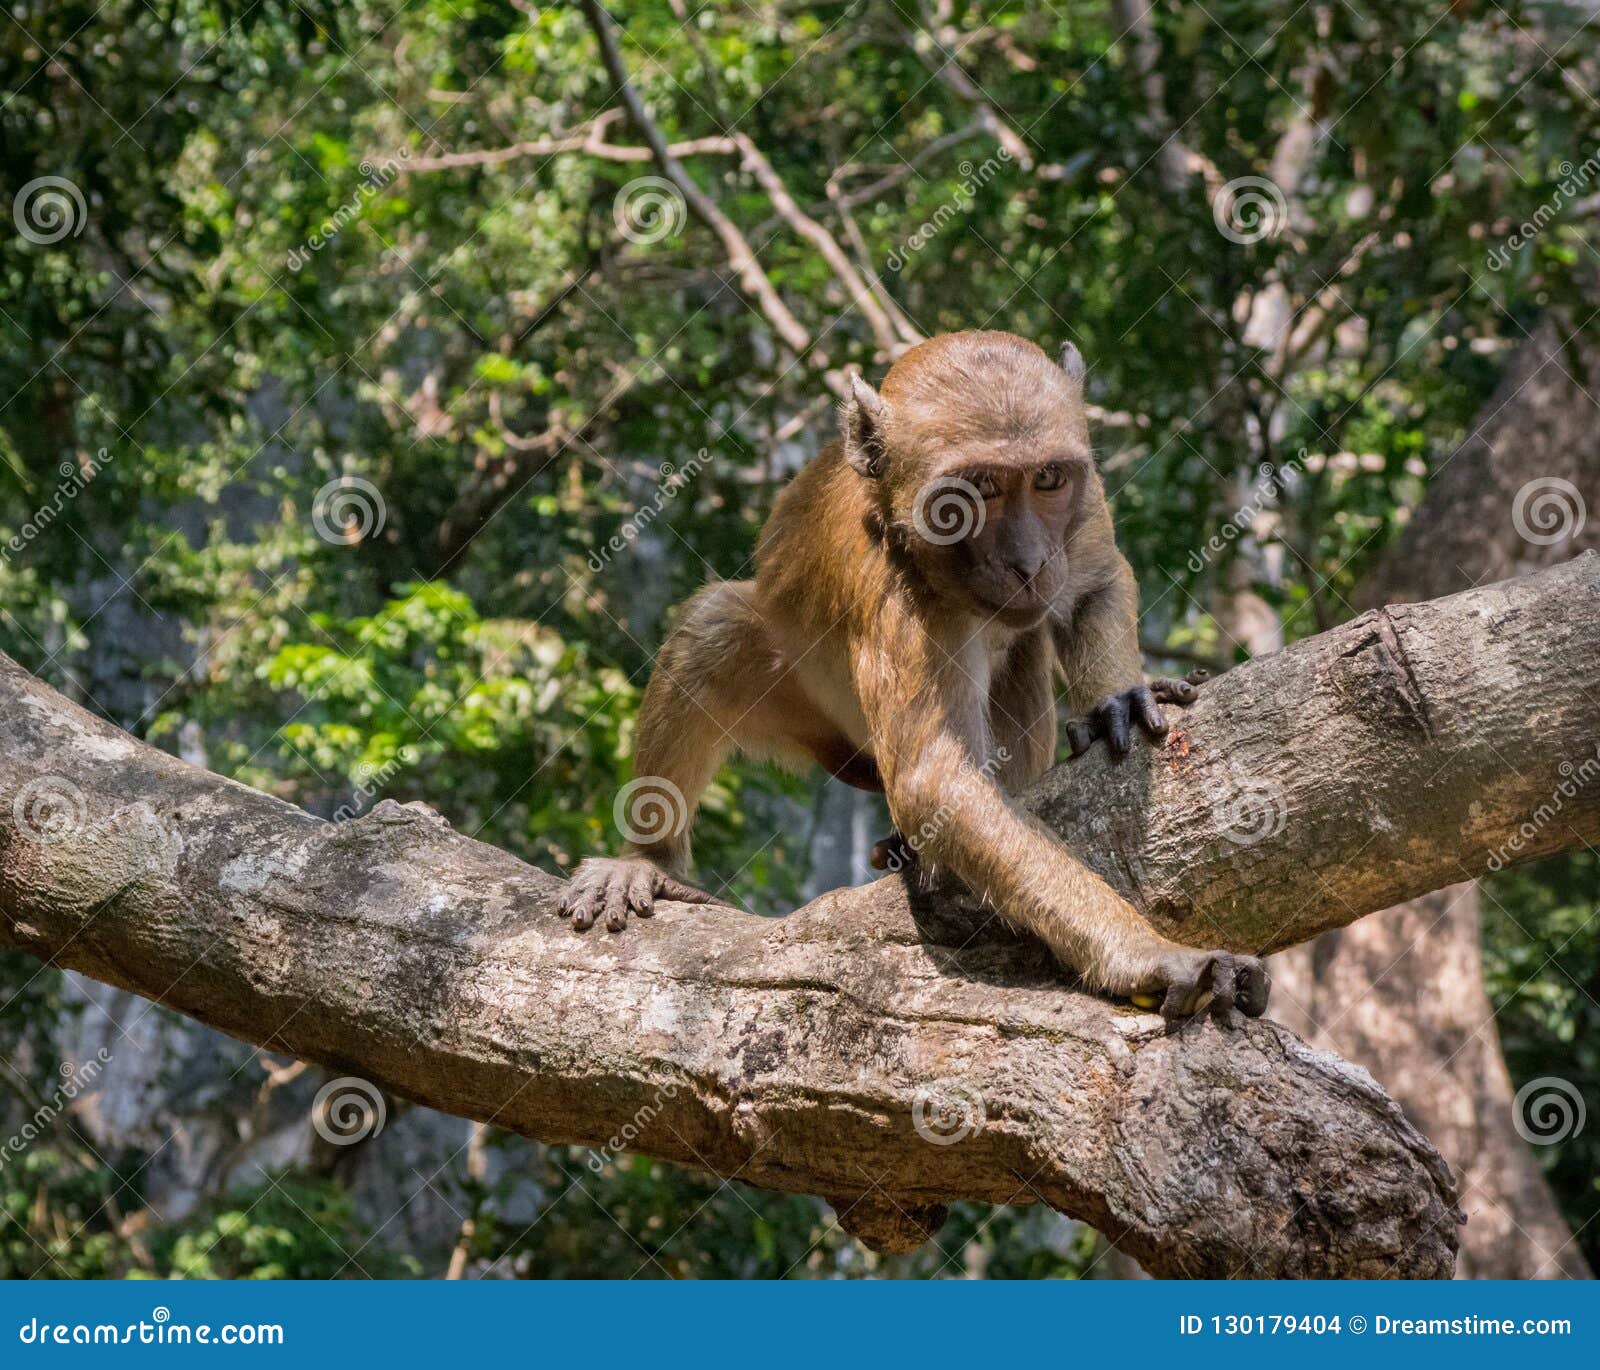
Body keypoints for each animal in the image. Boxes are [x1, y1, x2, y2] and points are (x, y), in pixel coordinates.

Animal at [561, 331, 1268, 1022]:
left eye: (1047, 478)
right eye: (974, 491)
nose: (1030, 563)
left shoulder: (1082, 501)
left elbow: (1096, 584)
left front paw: (1115, 700)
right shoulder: (899, 595)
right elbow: (937, 781)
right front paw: (1145, 954)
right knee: (713, 632)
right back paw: (649, 860)